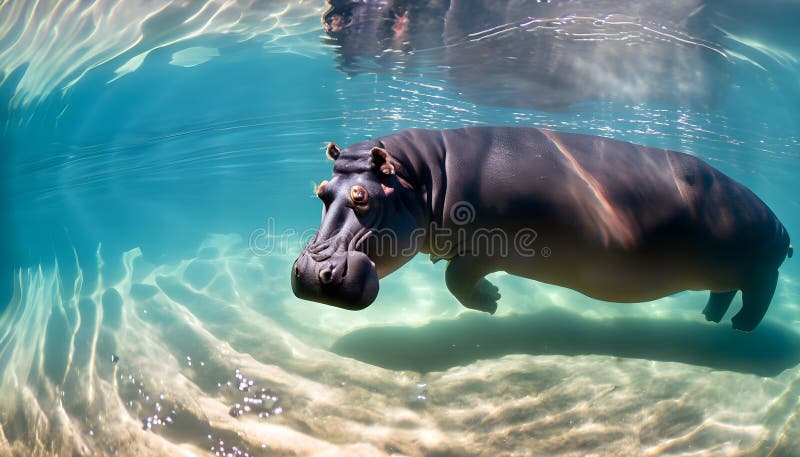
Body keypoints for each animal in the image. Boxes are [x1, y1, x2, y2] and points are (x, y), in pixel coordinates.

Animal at [292, 127, 792, 331]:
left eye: (363, 198)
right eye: (321, 191)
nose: (313, 272)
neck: (425, 176)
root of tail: (784, 230)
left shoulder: (487, 247)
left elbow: (456, 279)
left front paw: (492, 301)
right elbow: (454, 277)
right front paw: (493, 299)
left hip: (758, 266)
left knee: (760, 294)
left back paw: (741, 329)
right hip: (722, 269)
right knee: (723, 291)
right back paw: (712, 319)